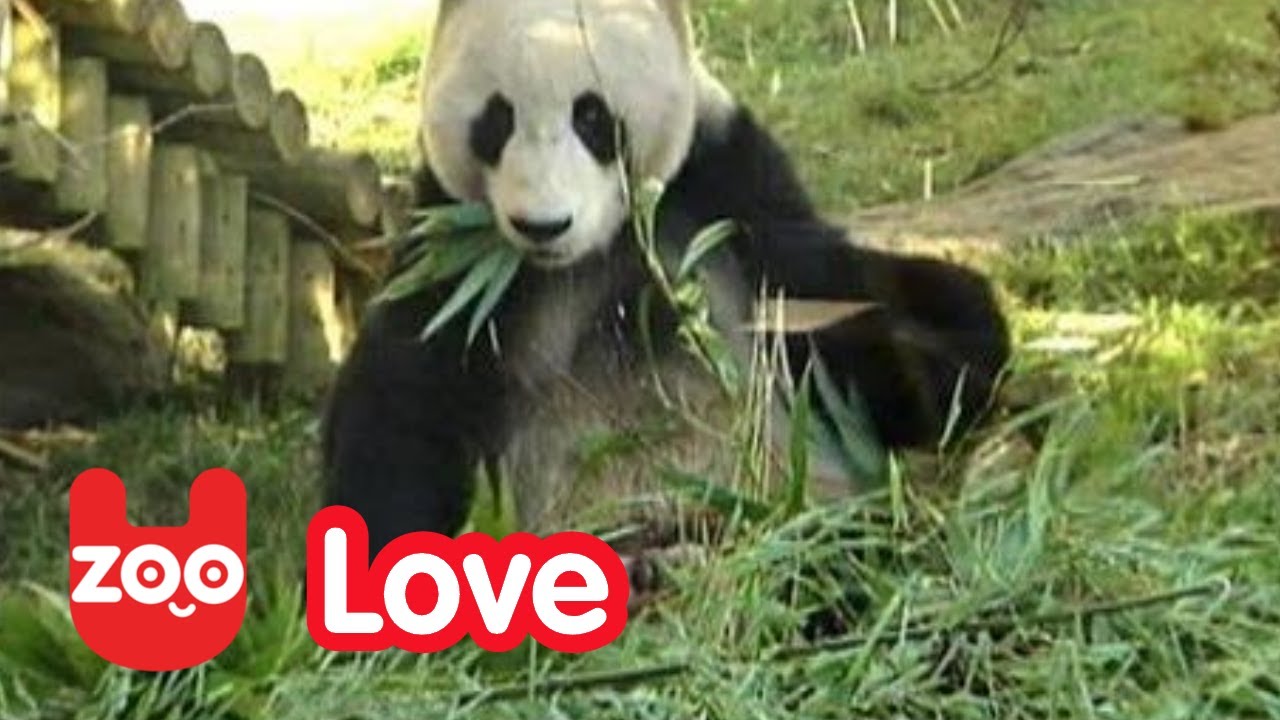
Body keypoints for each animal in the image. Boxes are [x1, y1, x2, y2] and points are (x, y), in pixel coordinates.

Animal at [322, 0, 1011, 566]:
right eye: (496, 119)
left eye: (592, 116)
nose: (542, 225)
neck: (599, 246)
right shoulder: (454, 251)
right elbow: (403, 400)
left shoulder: (726, 190)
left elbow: (867, 327)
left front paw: (891, 339)